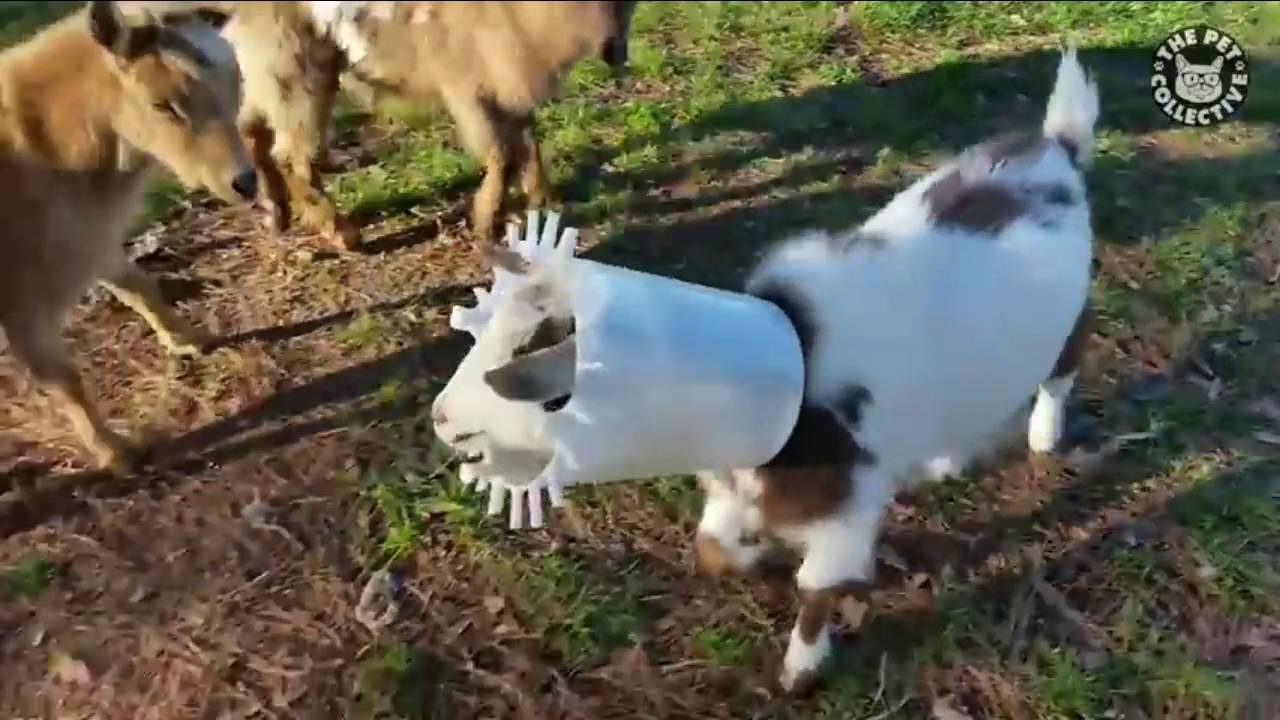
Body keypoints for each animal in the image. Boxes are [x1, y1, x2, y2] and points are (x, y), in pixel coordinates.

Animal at [0, 1, 256, 473]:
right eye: (162, 104)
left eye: (233, 83)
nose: (245, 182)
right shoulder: (19, 299)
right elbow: (63, 376)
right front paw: (118, 453)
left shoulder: (89, 239)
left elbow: (138, 284)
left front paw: (189, 340)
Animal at [220, 0, 638, 251]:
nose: (614, 49)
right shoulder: (467, 86)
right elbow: (501, 153)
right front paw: (487, 222)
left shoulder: (509, 81)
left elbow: (527, 141)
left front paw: (544, 201)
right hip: (297, 73)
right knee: (293, 155)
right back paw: (342, 233)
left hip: (265, 75)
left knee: (251, 132)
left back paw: (276, 211)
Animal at [431, 47, 1100, 691]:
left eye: (550, 392)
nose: (441, 419)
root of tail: (1056, 148)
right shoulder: (736, 487)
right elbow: (712, 550)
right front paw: (756, 565)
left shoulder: (842, 509)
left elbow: (816, 589)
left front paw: (799, 672)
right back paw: (941, 461)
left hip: (1068, 325)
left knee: (1060, 376)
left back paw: (1043, 439)